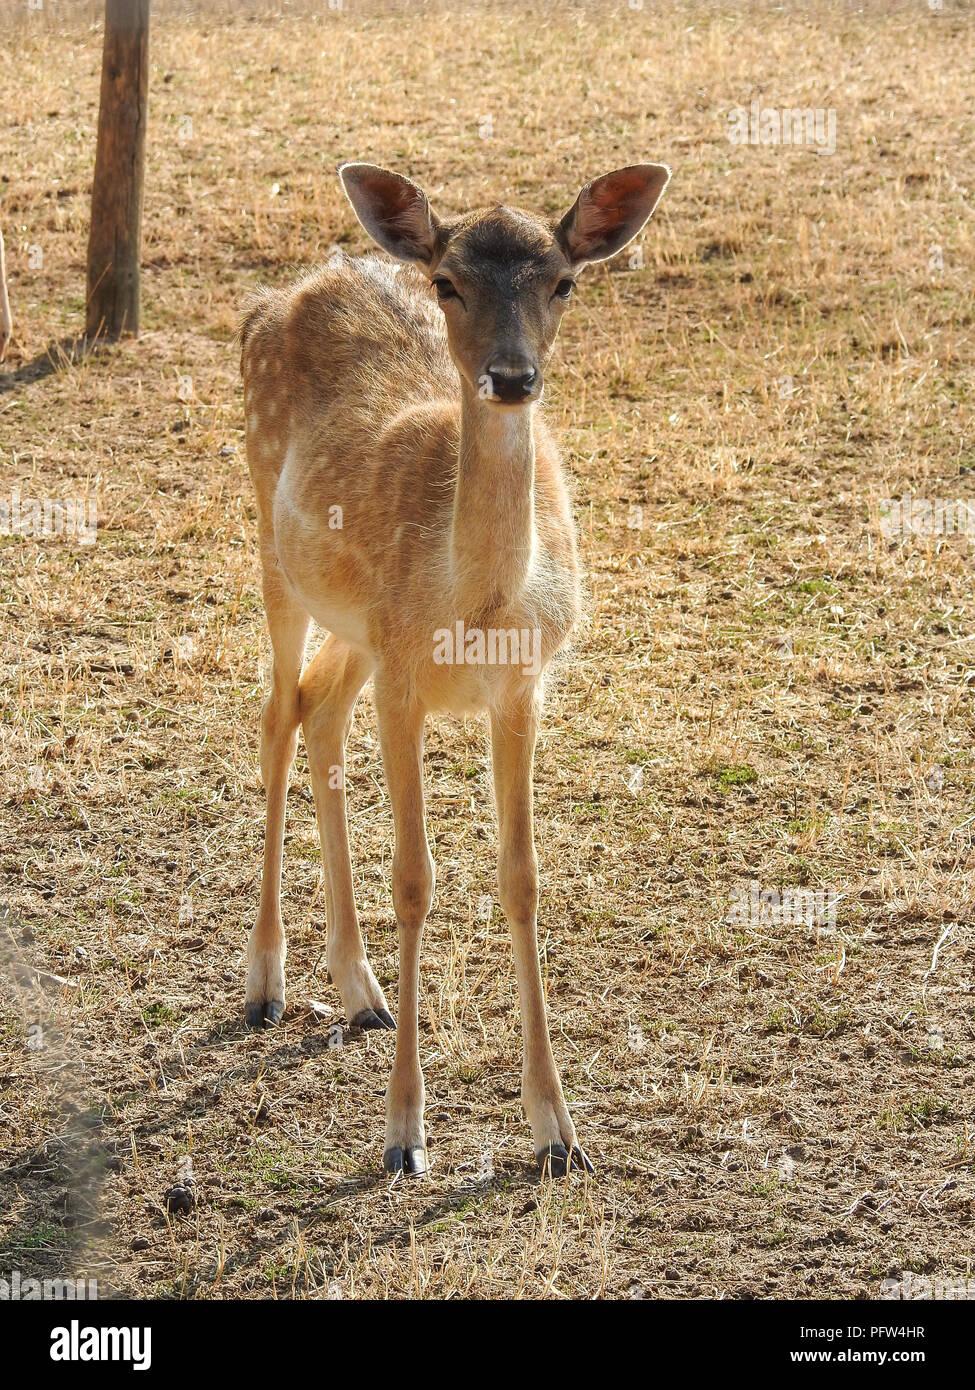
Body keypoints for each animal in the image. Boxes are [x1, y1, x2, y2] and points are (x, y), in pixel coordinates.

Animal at [238, 160, 670, 1178]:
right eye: (448, 282)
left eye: (564, 281)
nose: (510, 377)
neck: (479, 608)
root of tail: (273, 298)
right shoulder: (406, 679)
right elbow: (415, 878)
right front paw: (403, 1132)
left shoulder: (520, 685)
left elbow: (522, 876)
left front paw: (556, 1131)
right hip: (274, 544)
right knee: (277, 716)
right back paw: (267, 981)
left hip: (358, 628)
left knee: (317, 709)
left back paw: (358, 991)